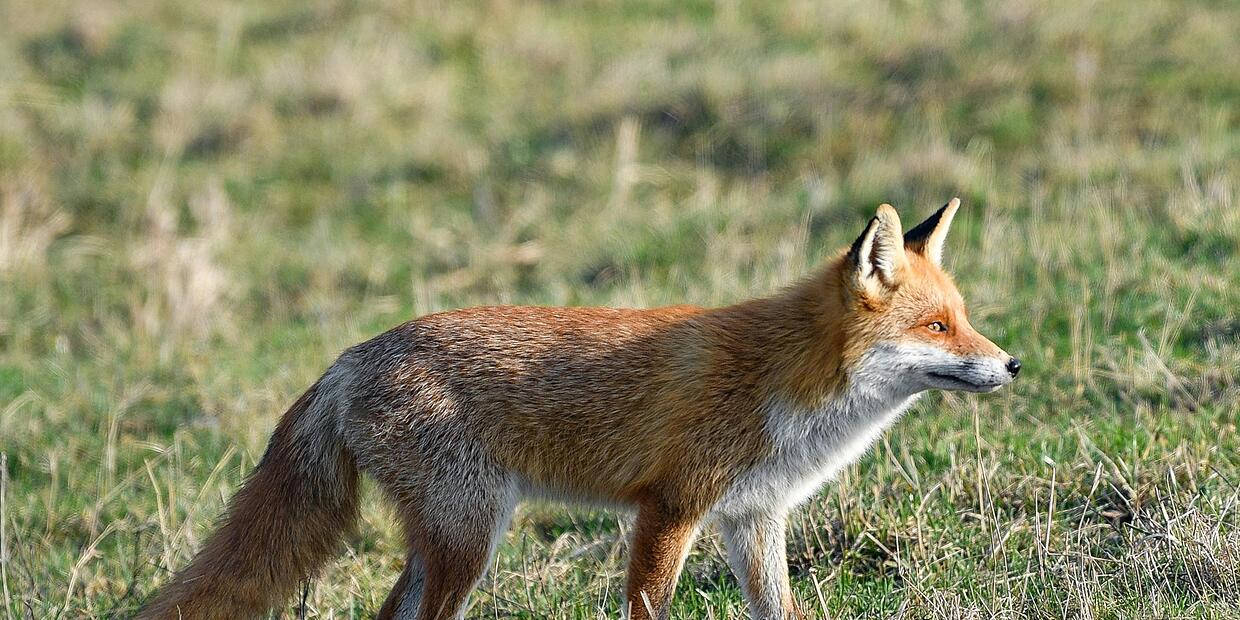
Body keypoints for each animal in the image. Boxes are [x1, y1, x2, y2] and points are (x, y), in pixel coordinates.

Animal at [137, 200, 1020, 620]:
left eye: (963, 317)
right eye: (936, 328)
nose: (1012, 363)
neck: (784, 386)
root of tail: (347, 359)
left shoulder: (752, 519)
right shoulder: (669, 508)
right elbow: (647, 608)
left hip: (446, 537)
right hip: (470, 537)